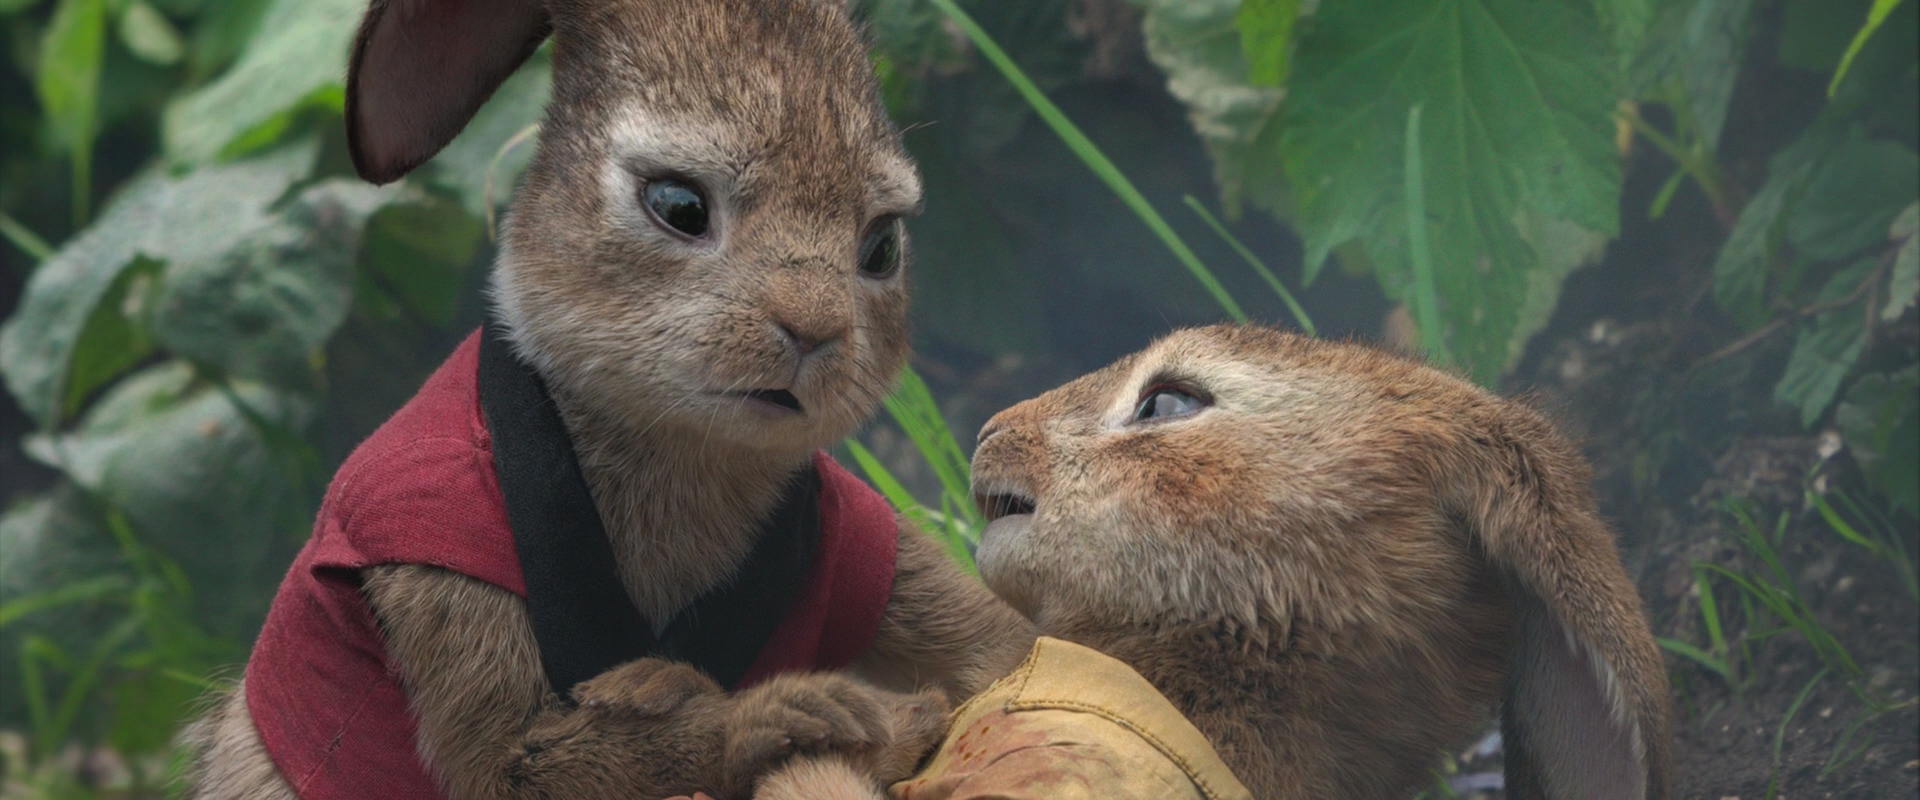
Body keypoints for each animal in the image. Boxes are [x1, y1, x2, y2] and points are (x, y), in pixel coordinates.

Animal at [180, 0, 1033, 798]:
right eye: (677, 203)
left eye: (883, 244)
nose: (813, 328)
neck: (681, 447)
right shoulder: (436, 553)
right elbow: (527, 762)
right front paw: (831, 713)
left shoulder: (857, 534)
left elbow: (1009, 650)